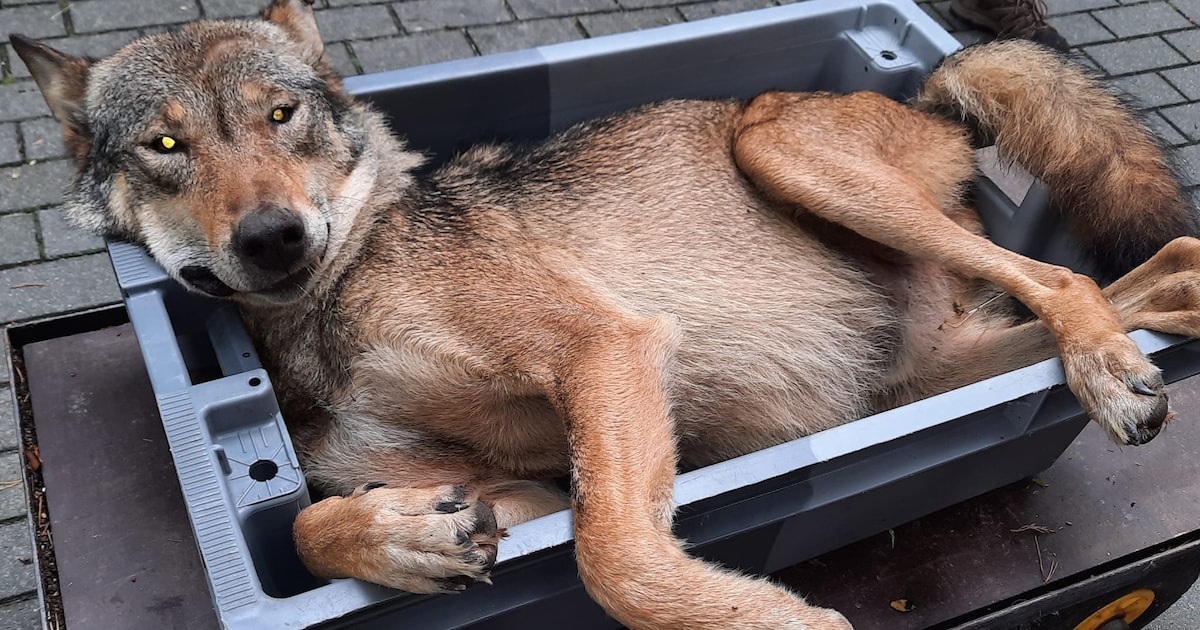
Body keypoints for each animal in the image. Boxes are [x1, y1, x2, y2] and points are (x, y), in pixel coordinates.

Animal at [14, 0, 1200, 627]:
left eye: (280, 115)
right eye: (165, 146)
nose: (271, 239)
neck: (331, 304)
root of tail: (922, 85)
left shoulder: (606, 350)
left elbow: (615, 561)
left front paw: (779, 620)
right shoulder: (528, 490)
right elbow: (308, 529)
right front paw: (404, 537)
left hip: (776, 143)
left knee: (1071, 281)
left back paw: (1108, 373)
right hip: (919, 369)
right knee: (1163, 267)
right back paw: (1152, 337)